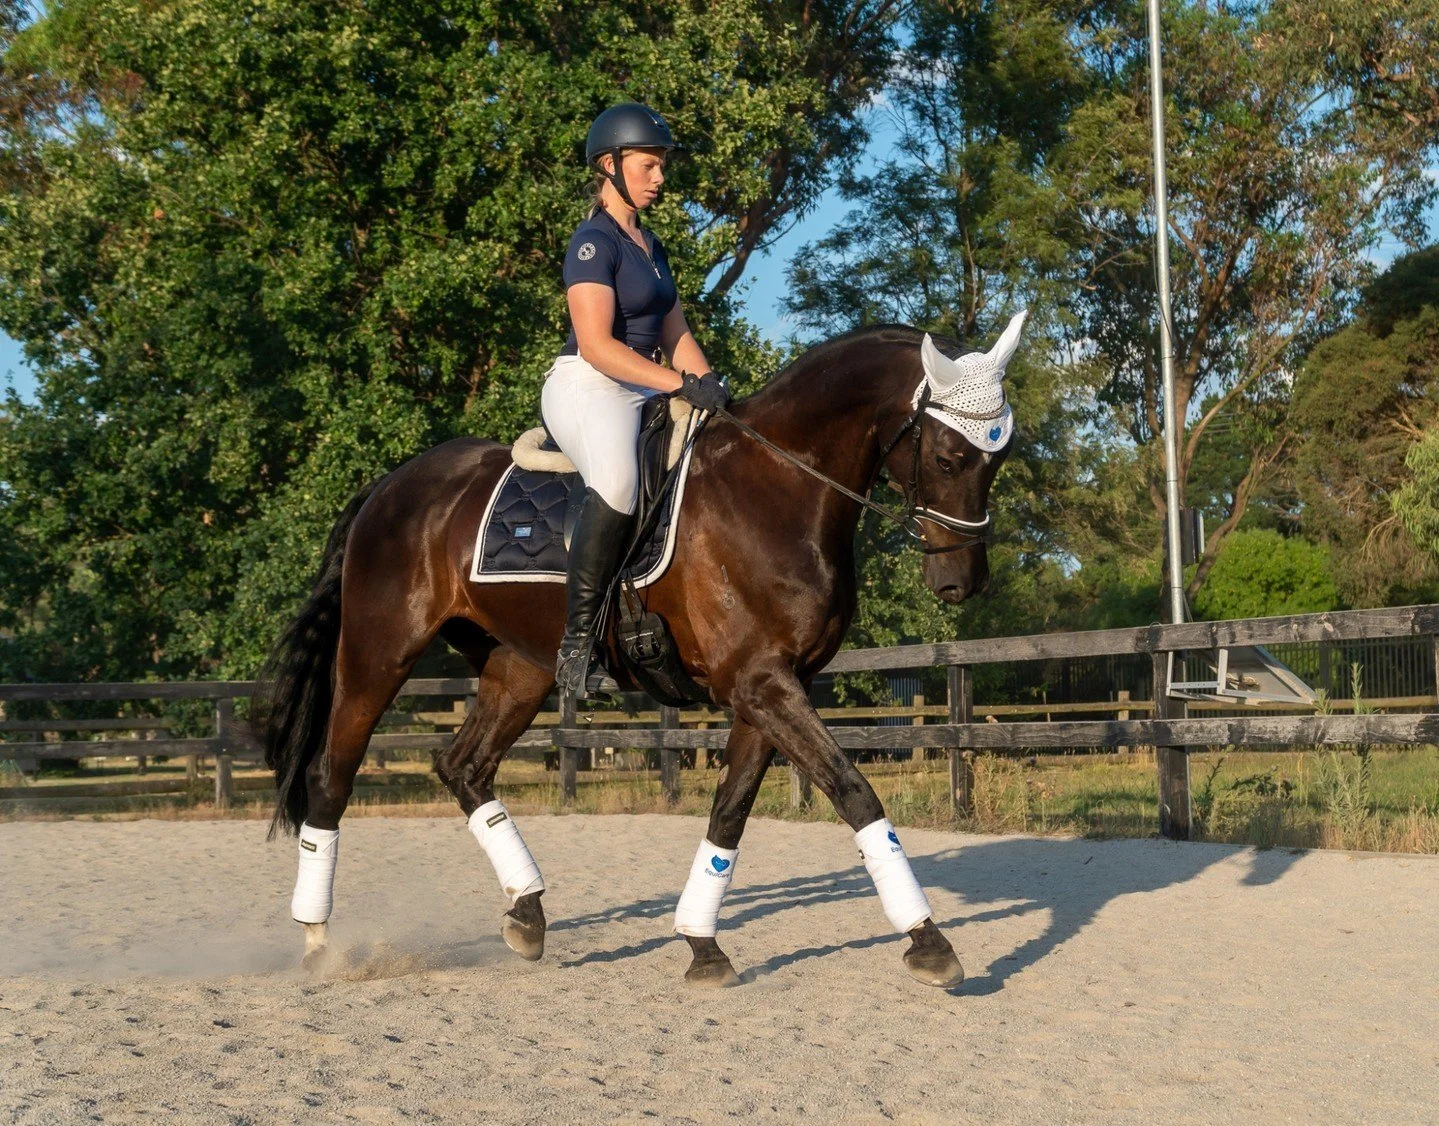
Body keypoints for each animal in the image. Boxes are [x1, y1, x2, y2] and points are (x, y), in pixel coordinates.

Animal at [255, 311, 1027, 988]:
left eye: (998, 459)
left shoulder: (771, 685)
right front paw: (929, 942)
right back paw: (320, 942)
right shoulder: (761, 683)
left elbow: (728, 815)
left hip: (519, 668)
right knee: (331, 776)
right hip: (378, 655)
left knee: (463, 765)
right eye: (950, 455)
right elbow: (854, 792)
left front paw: (701, 946)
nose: (961, 582)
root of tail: (390, 484)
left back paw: (527, 914)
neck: (778, 486)